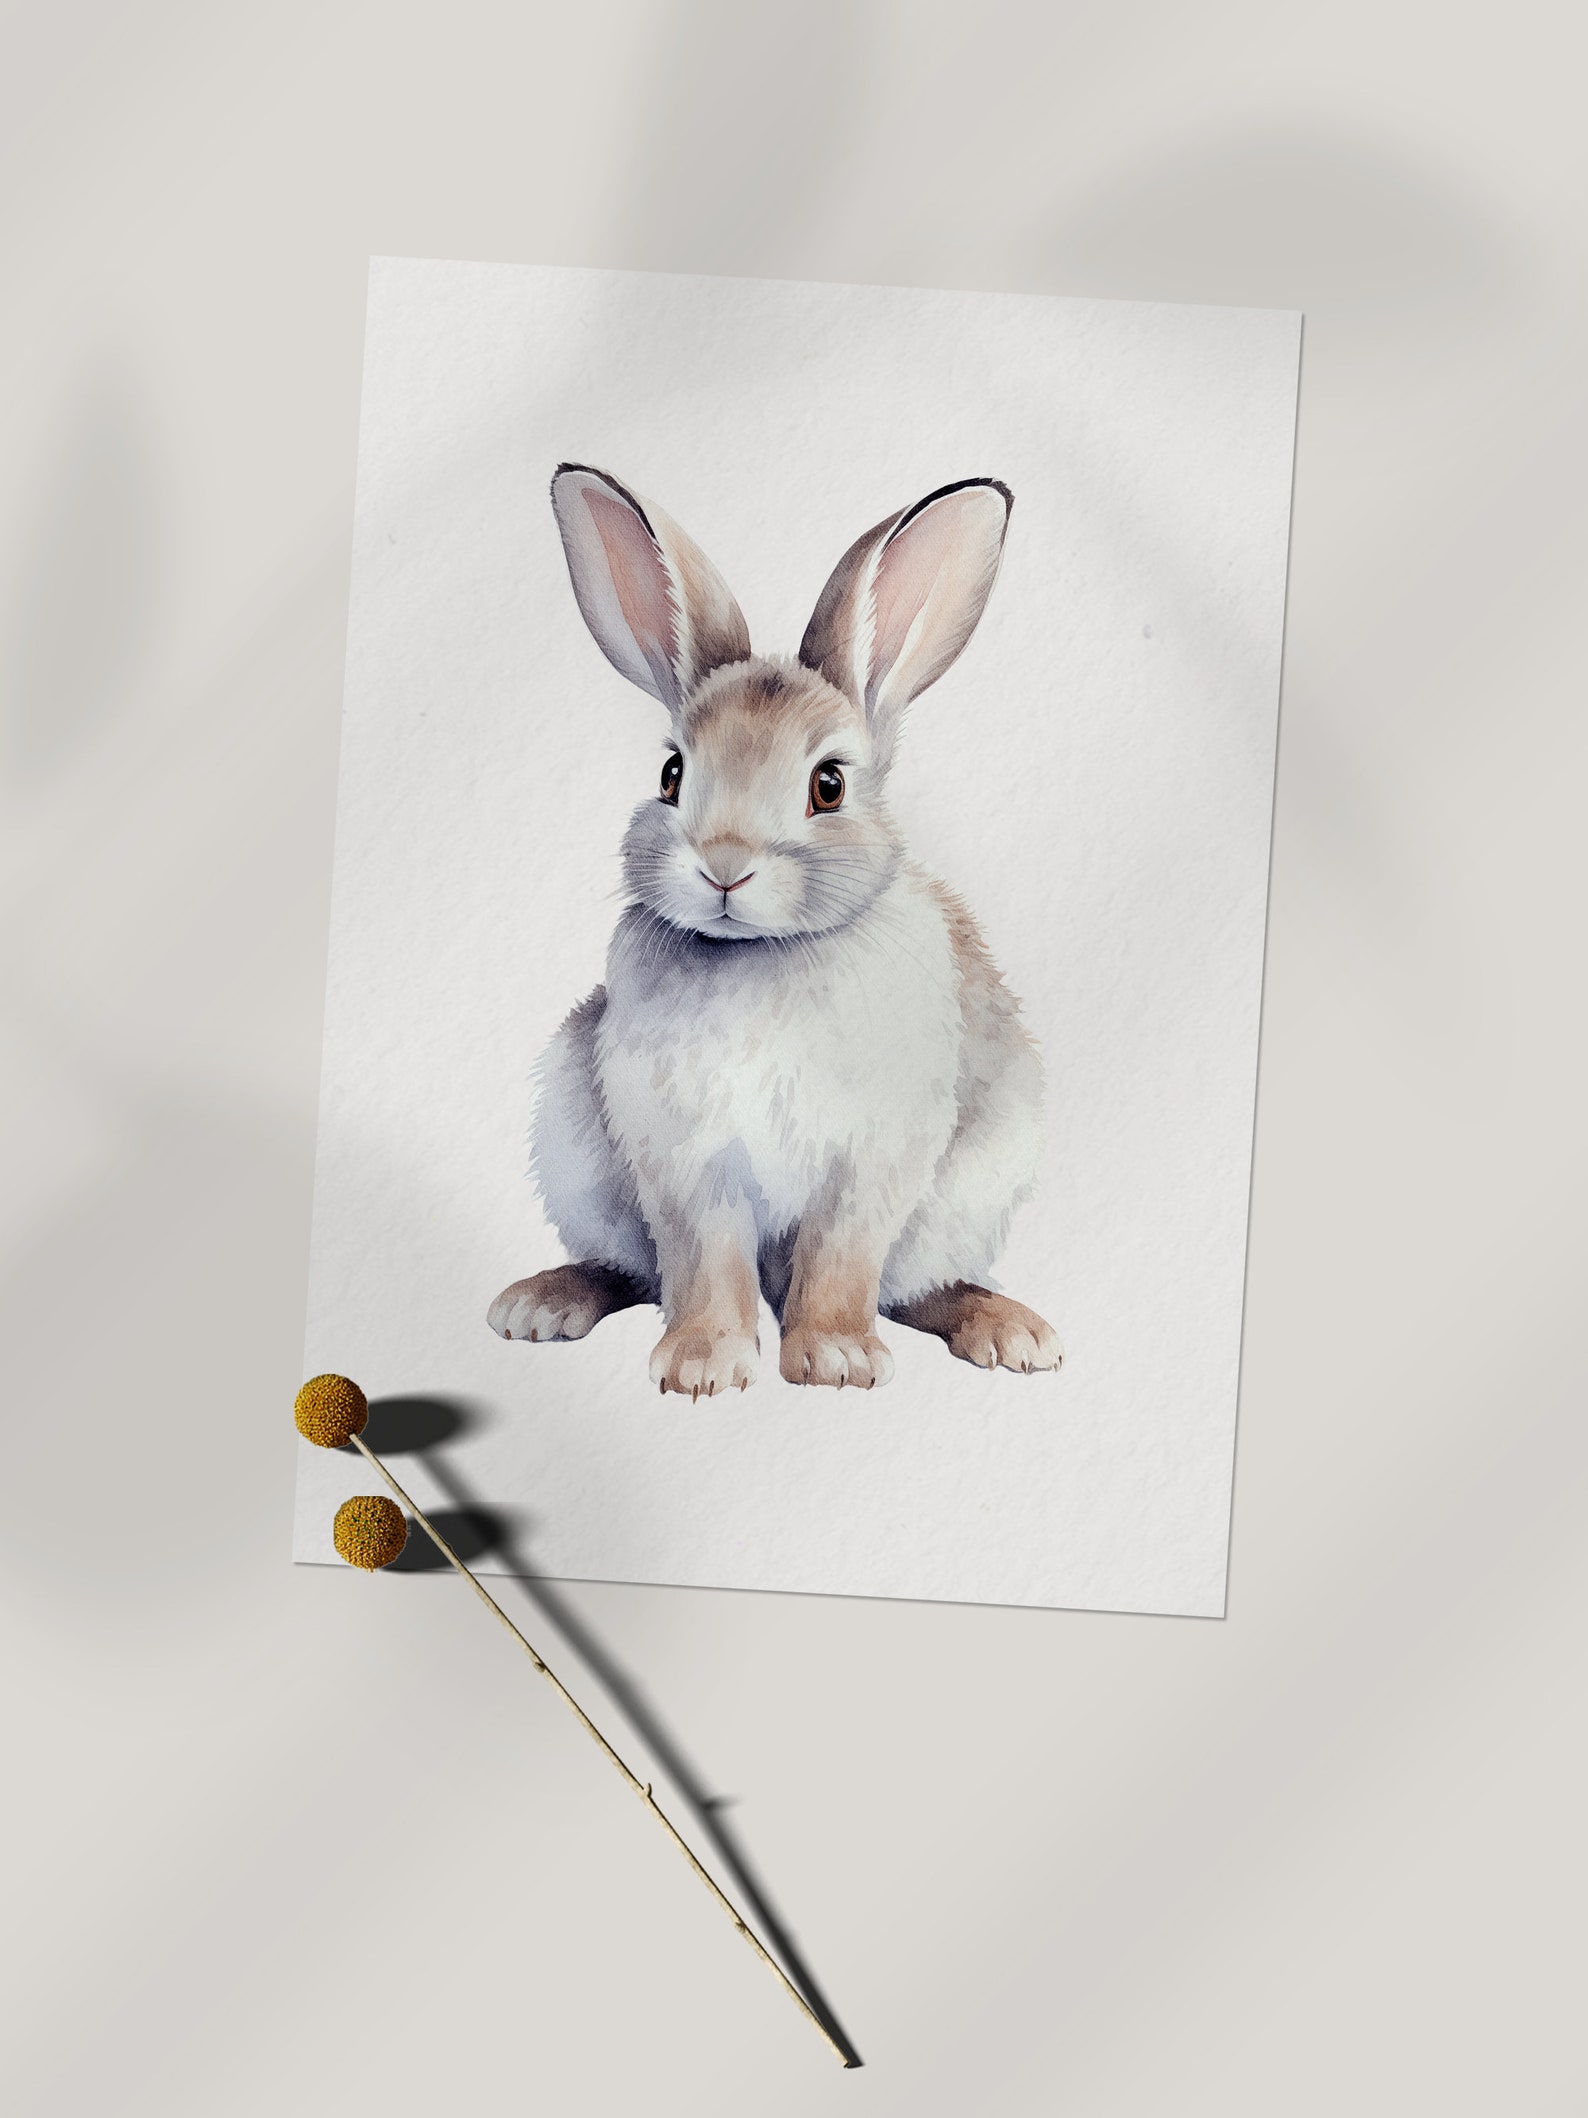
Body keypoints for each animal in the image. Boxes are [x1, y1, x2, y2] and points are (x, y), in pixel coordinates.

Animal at [487, 464, 1062, 1394]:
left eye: (829, 785)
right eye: (672, 774)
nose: (724, 866)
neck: (759, 955)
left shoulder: (875, 1156)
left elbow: (841, 1256)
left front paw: (836, 1360)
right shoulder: (684, 1156)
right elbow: (704, 1260)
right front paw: (703, 1365)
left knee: (914, 1287)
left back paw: (1009, 1332)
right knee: (632, 1269)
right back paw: (543, 1304)